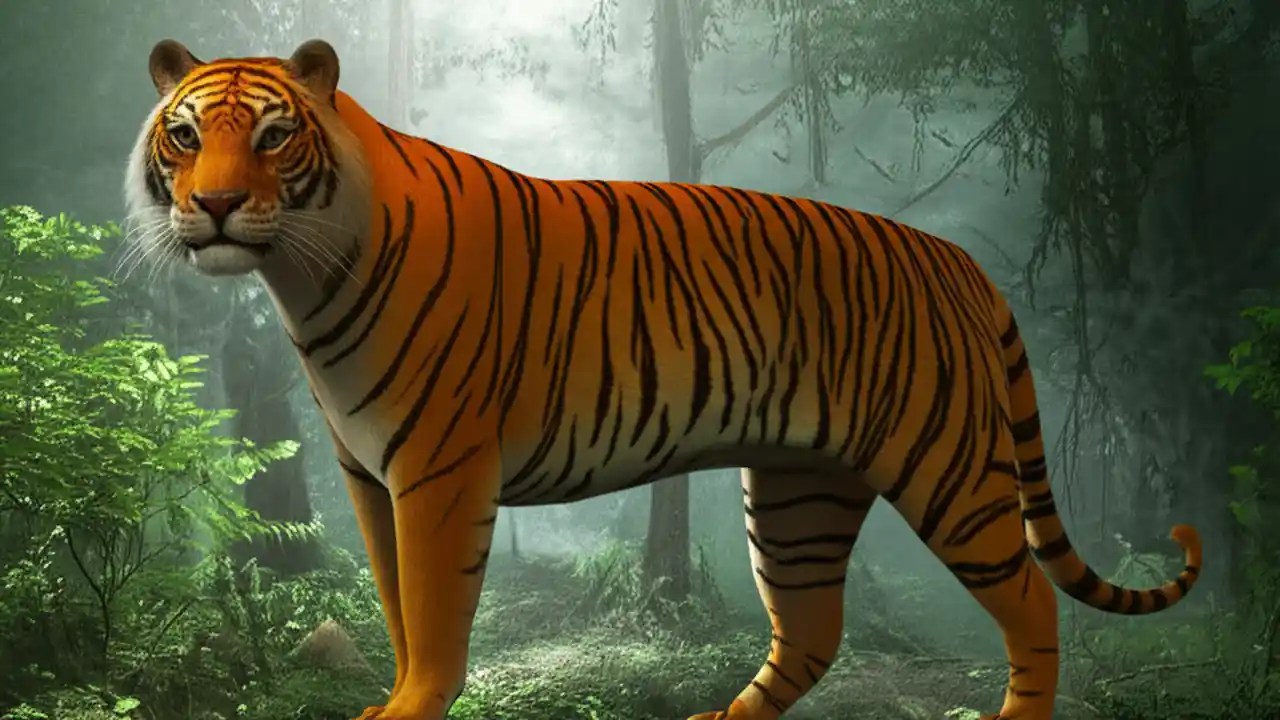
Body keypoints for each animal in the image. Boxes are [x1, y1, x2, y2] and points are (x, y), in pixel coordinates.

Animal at [123, 38, 1203, 720]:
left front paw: (411, 706)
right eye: (185, 135)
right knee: (812, 631)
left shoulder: (437, 470)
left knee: (1029, 601)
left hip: (946, 468)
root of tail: (955, 257)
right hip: (800, 494)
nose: (214, 206)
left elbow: (432, 612)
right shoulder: (366, 476)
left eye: (272, 136)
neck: (302, 280)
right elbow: (392, 603)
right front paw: (390, 692)